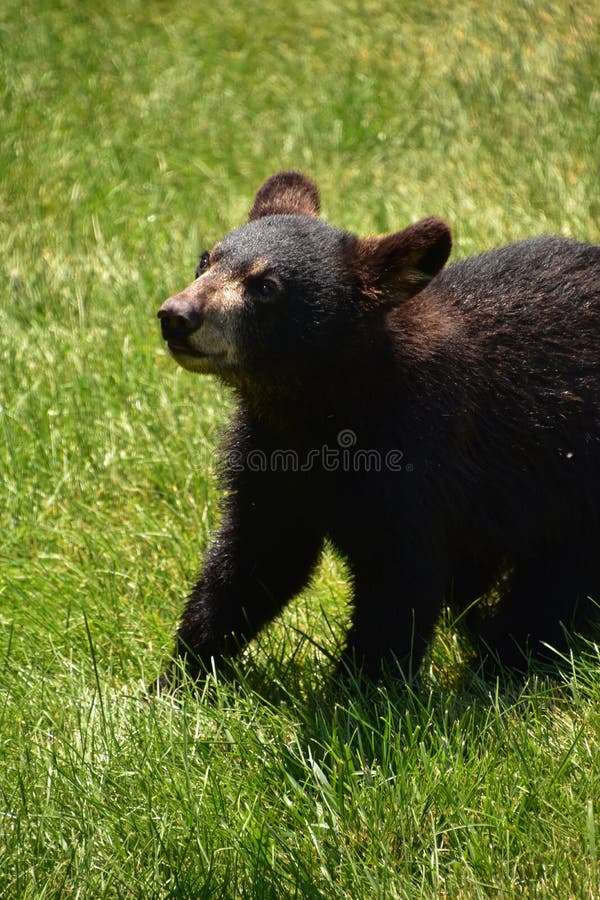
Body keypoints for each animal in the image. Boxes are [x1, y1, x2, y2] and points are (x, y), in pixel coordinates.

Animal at [155, 170, 600, 689]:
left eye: (265, 286)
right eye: (205, 260)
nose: (176, 315)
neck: (320, 413)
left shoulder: (421, 460)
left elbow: (400, 583)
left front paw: (357, 692)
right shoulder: (268, 455)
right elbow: (256, 559)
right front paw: (178, 678)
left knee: (556, 580)